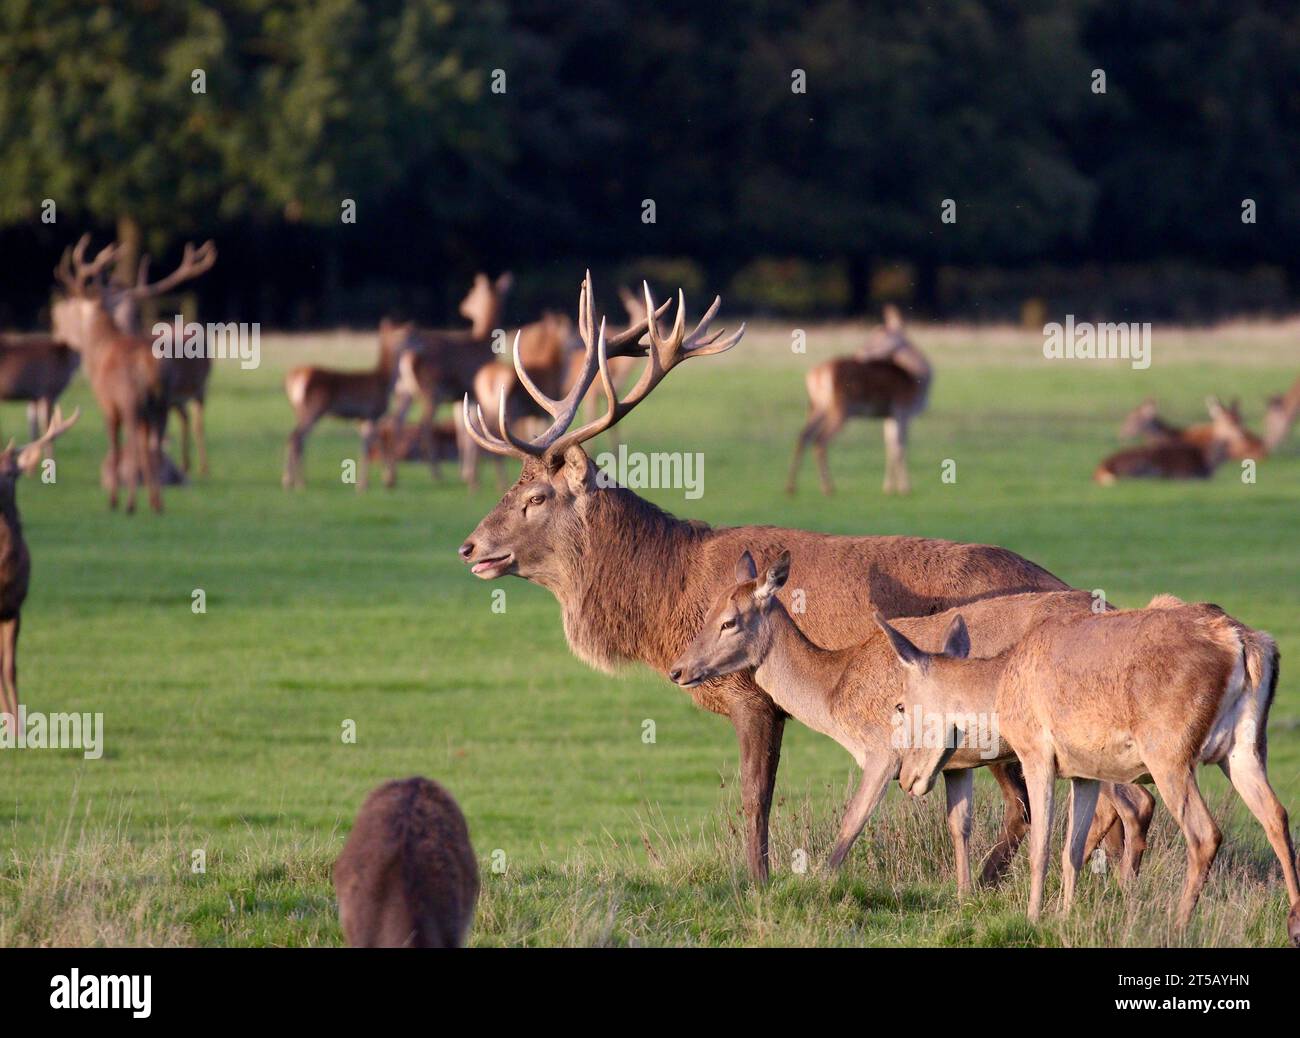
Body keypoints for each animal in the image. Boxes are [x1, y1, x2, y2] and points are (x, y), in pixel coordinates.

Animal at [282, 319, 414, 490]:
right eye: (404, 335)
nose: (417, 345)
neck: (383, 382)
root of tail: (293, 377)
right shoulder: (373, 413)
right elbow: (373, 445)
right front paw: (377, 482)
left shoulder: (363, 418)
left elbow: (368, 445)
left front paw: (373, 481)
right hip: (314, 407)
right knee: (297, 437)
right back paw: (296, 482)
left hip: (299, 409)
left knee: (295, 437)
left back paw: (292, 480)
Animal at [667, 552, 1154, 892]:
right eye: (706, 614)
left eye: (730, 621)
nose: (678, 670)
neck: (836, 694)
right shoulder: (956, 762)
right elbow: (959, 824)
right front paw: (964, 895)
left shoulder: (882, 750)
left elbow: (852, 822)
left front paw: (818, 884)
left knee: (1134, 802)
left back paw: (1119, 891)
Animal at [786, 305, 931, 496]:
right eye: (875, 332)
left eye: (881, 334)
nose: (859, 352)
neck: (917, 381)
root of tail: (815, 375)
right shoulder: (903, 410)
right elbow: (901, 447)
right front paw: (904, 488)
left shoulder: (890, 415)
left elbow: (890, 447)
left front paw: (888, 487)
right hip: (841, 407)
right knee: (820, 439)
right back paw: (828, 488)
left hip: (818, 406)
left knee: (804, 435)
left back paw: (791, 487)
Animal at [878, 598, 1298, 944]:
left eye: (900, 705)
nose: (906, 778)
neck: (999, 690)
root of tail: (1245, 642)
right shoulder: (1085, 772)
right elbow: (1073, 849)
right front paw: (1065, 916)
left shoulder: (1036, 753)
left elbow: (1042, 846)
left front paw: (1033, 918)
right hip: (1245, 748)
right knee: (1276, 816)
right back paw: (1292, 923)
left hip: (1169, 751)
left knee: (1205, 832)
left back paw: (1177, 926)